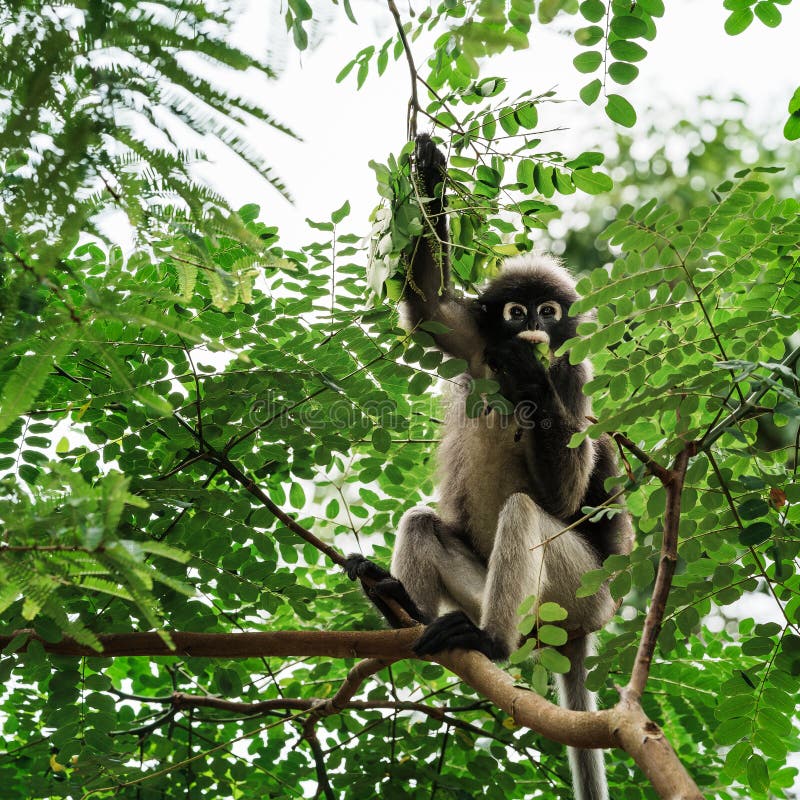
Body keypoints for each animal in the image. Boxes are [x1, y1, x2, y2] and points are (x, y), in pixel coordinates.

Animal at [346, 134, 633, 800]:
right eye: (515, 312)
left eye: (549, 311)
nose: (533, 328)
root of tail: (581, 631)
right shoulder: (478, 345)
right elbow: (428, 308)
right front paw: (429, 172)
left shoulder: (575, 375)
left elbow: (565, 499)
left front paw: (532, 377)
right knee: (422, 523)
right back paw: (400, 603)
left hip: (581, 589)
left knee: (526, 511)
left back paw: (490, 643)